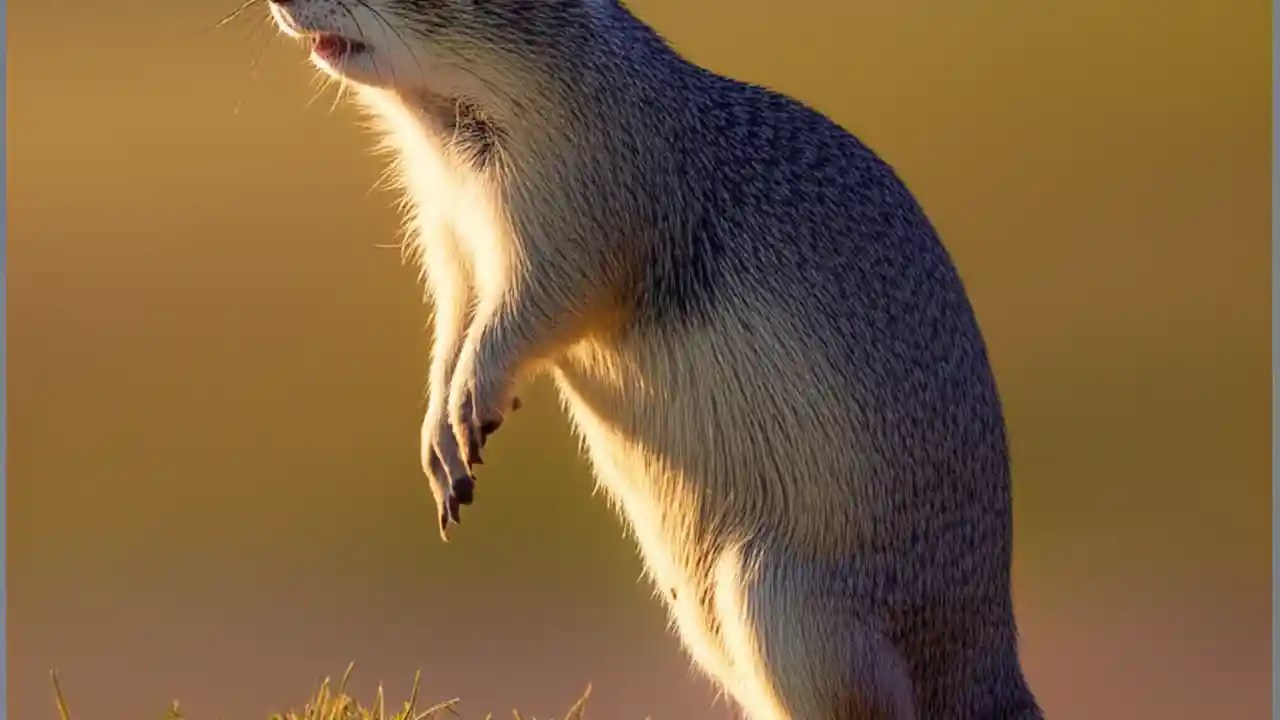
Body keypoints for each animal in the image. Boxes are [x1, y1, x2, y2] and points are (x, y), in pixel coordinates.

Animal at [265, 1, 1042, 718]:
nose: (275, 3)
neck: (448, 126)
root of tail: (993, 675)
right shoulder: (452, 238)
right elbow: (456, 323)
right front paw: (438, 436)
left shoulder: (579, 209)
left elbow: (526, 318)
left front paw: (472, 405)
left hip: (778, 597)